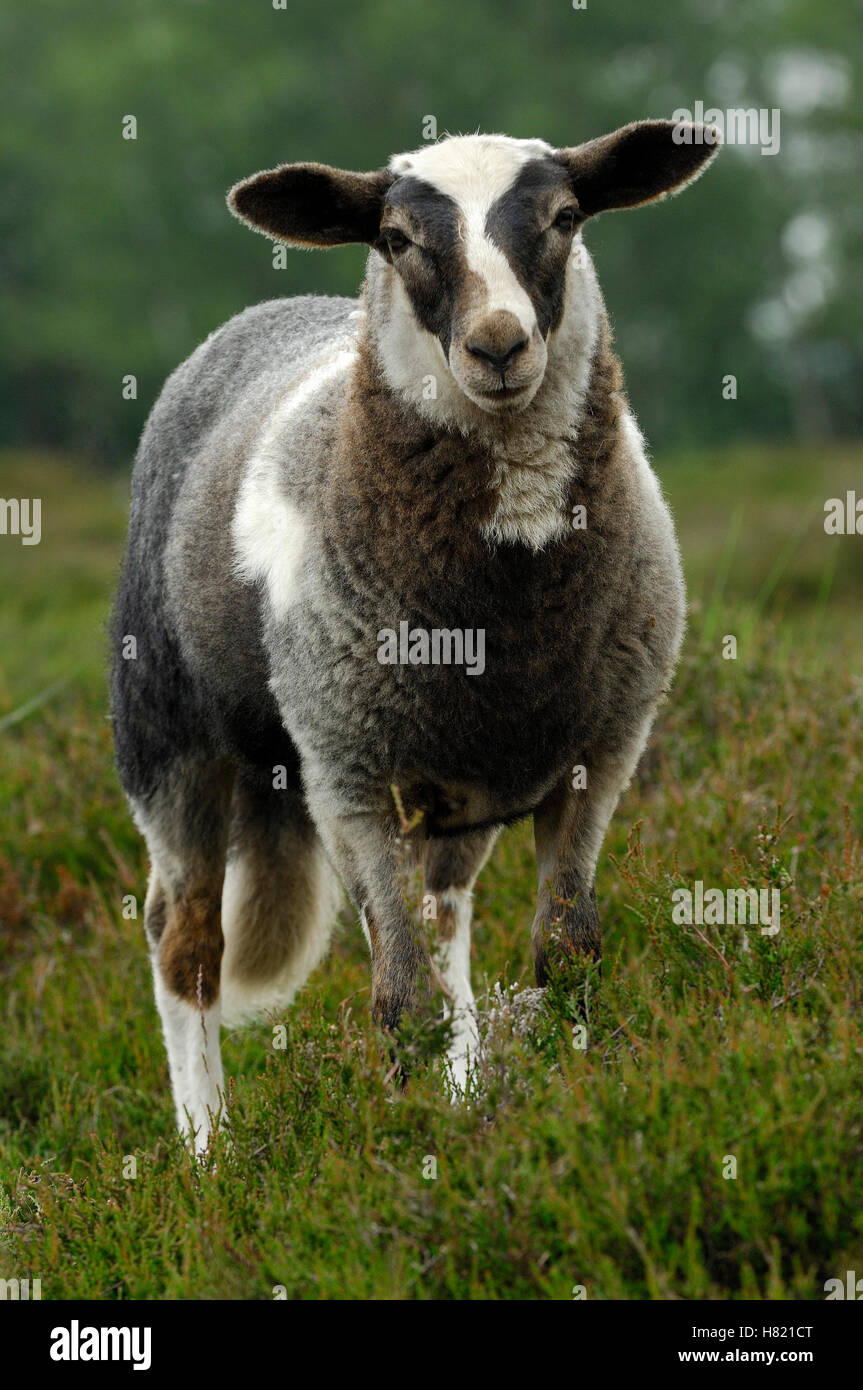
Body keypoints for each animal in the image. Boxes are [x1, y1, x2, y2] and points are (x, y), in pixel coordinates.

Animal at [111, 121, 719, 1152]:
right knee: (184, 936)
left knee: (446, 925)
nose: (498, 346)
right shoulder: (349, 775)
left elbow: (566, 951)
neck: (507, 617)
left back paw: (465, 1089)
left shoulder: (603, 750)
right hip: (167, 732)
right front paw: (411, 1146)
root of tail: (263, 314)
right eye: (395, 240)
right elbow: (397, 999)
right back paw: (209, 1150)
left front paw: (565, 1102)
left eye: (566, 218)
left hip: (448, 790)